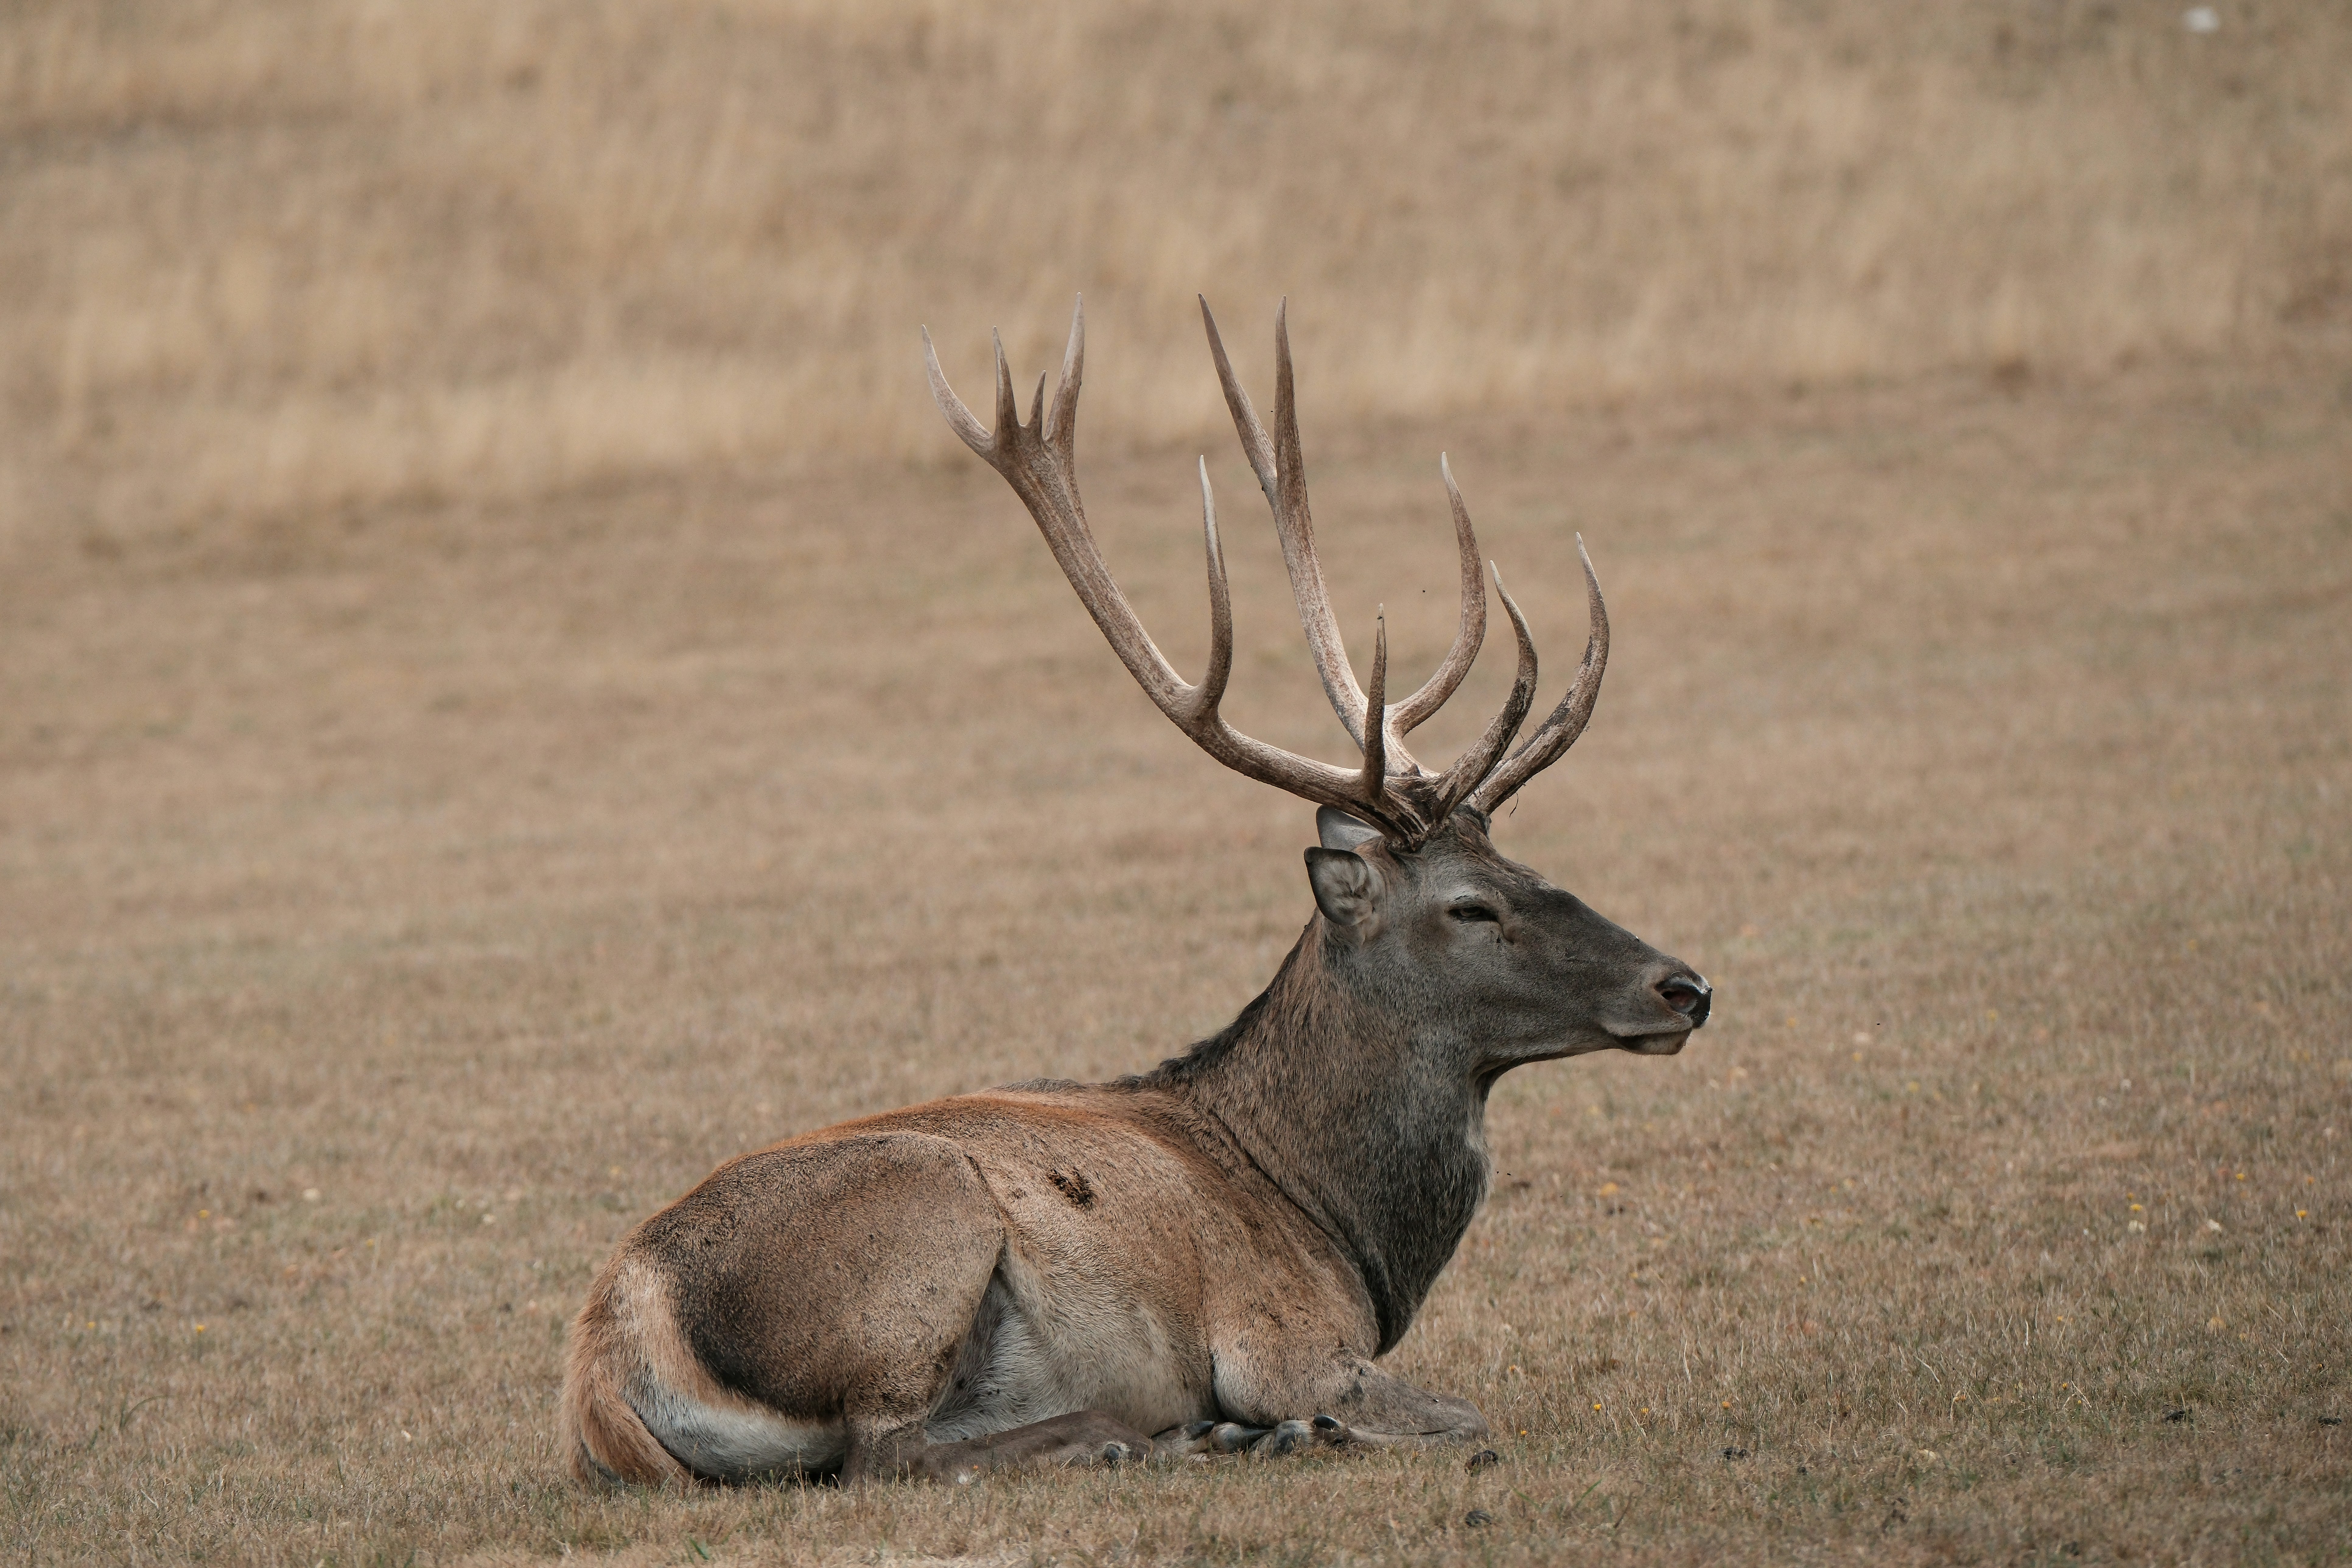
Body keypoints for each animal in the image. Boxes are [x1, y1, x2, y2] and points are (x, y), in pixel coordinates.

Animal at [560, 298, 1711, 1488]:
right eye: (1470, 906)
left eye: (1526, 865)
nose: (1682, 987)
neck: (1332, 1222)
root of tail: (606, 1360)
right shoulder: (1281, 1336)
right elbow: (1467, 1415)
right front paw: (1287, 1424)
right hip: (918, 1221)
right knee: (888, 1452)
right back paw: (1153, 1435)